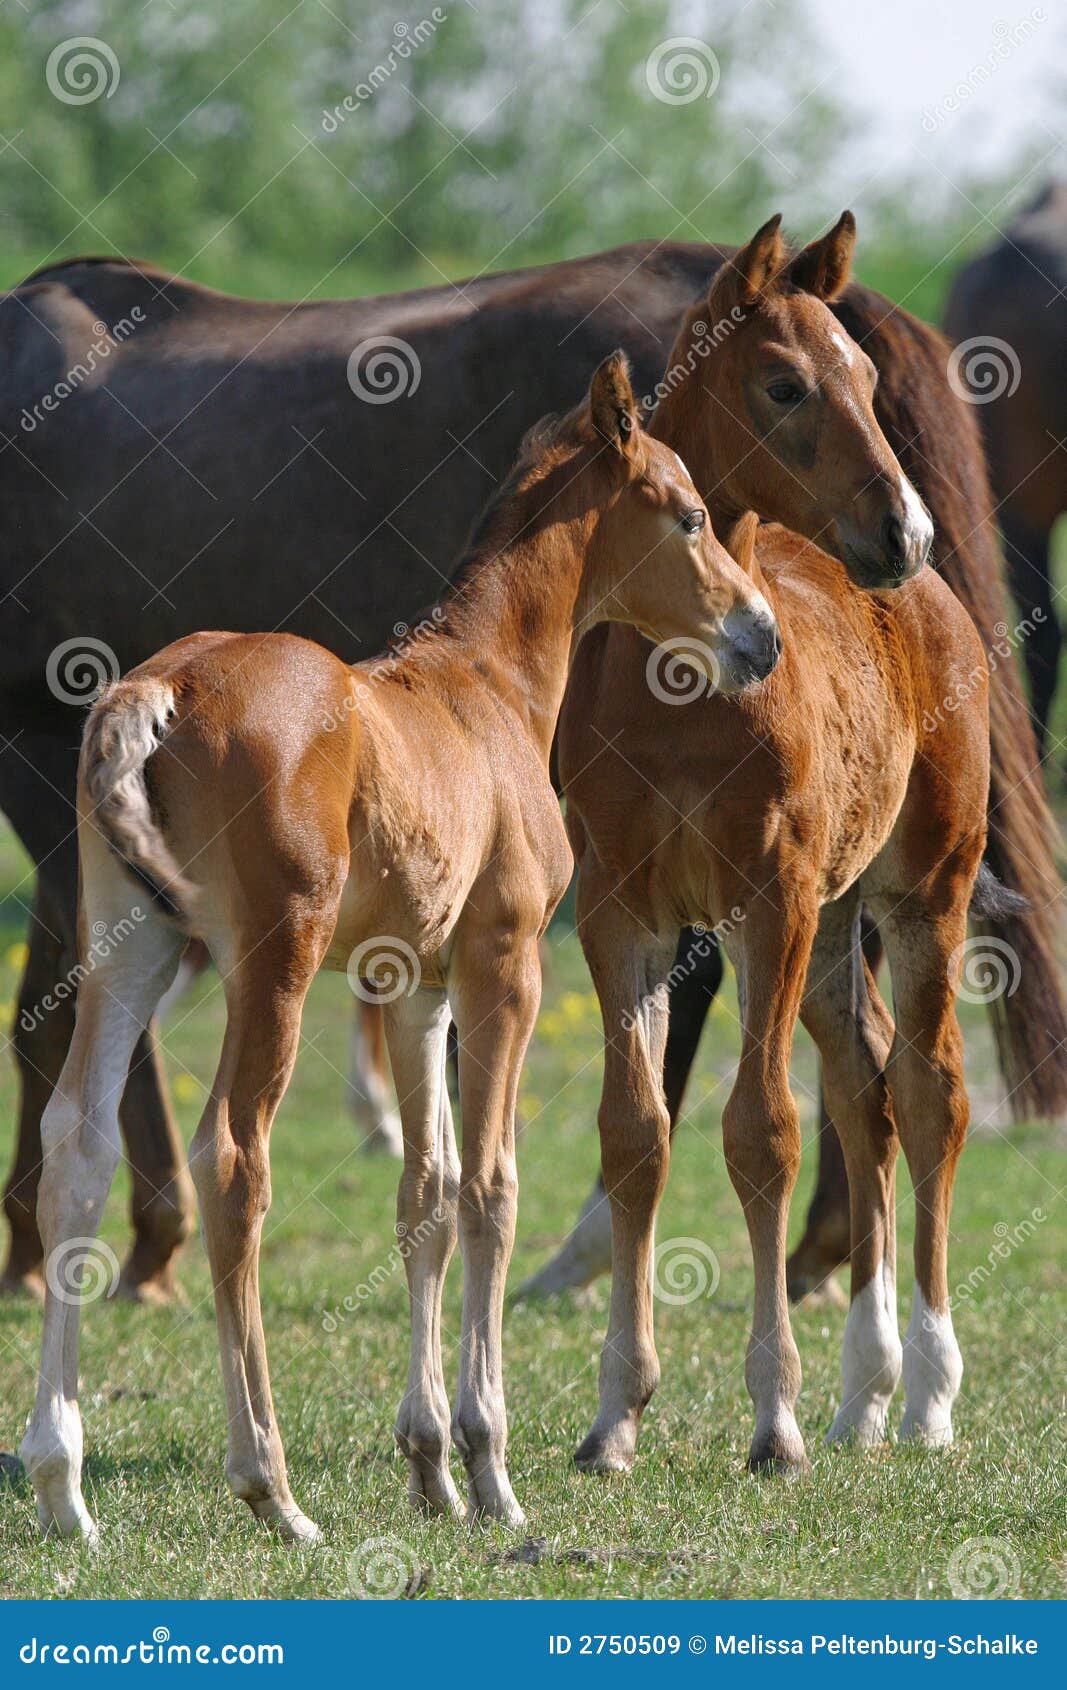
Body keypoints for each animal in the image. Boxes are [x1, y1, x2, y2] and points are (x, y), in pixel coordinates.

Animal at [19, 355, 779, 1541]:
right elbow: (491, 1188)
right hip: (269, 961)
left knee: (79, 1146)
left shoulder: (417, 988)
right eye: (690, 514)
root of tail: (159, 689)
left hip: (129, 948)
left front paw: (429, 1467)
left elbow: (425, 1193)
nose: (761, 634)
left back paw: (62, 1486)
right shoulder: (506, 966)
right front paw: (492, 1470)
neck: (489, 685)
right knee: (234, 1157)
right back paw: (271, 1486)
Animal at [558, 237, 997, 1477]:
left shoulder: (769, 897)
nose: (901, 534)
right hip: (835, 914)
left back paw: (925, 1393)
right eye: (783, 385)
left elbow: (760, 1134)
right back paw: (864, 1395)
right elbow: (634, 1134)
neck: (675, 693)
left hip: (916, 887)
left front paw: (772, 1421)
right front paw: (613, 1418)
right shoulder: (619, 908)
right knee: (864, 1082)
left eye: (865, 372)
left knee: (928, 1087)